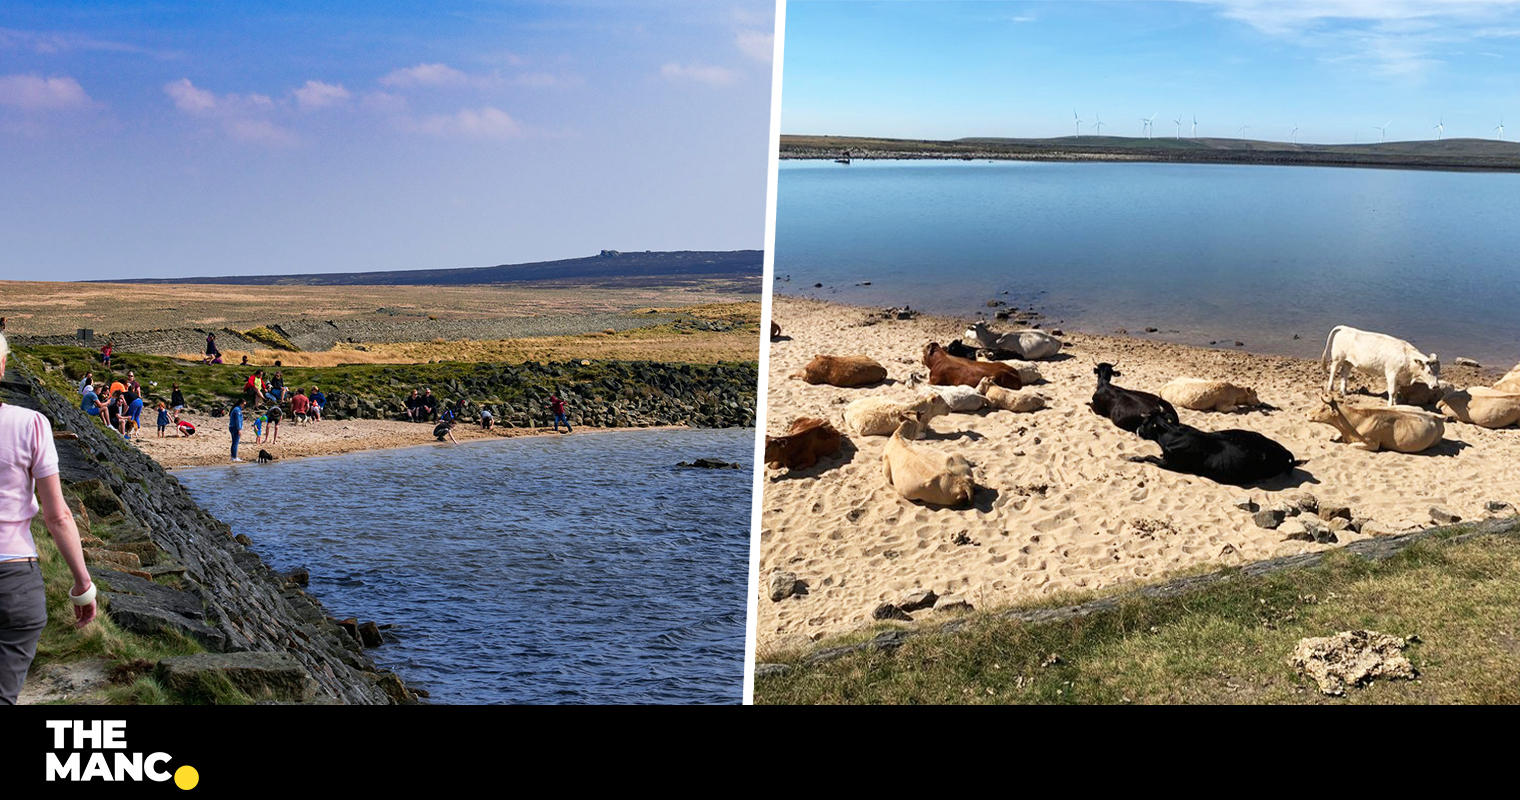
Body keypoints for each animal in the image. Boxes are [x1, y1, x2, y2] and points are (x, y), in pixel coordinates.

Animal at [1135, 412, 1299, 486]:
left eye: (1145, 422)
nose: (1137, 429)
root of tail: (1284, 452)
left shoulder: (1172, 464)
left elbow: (1149, 457)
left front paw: (1135, 458)